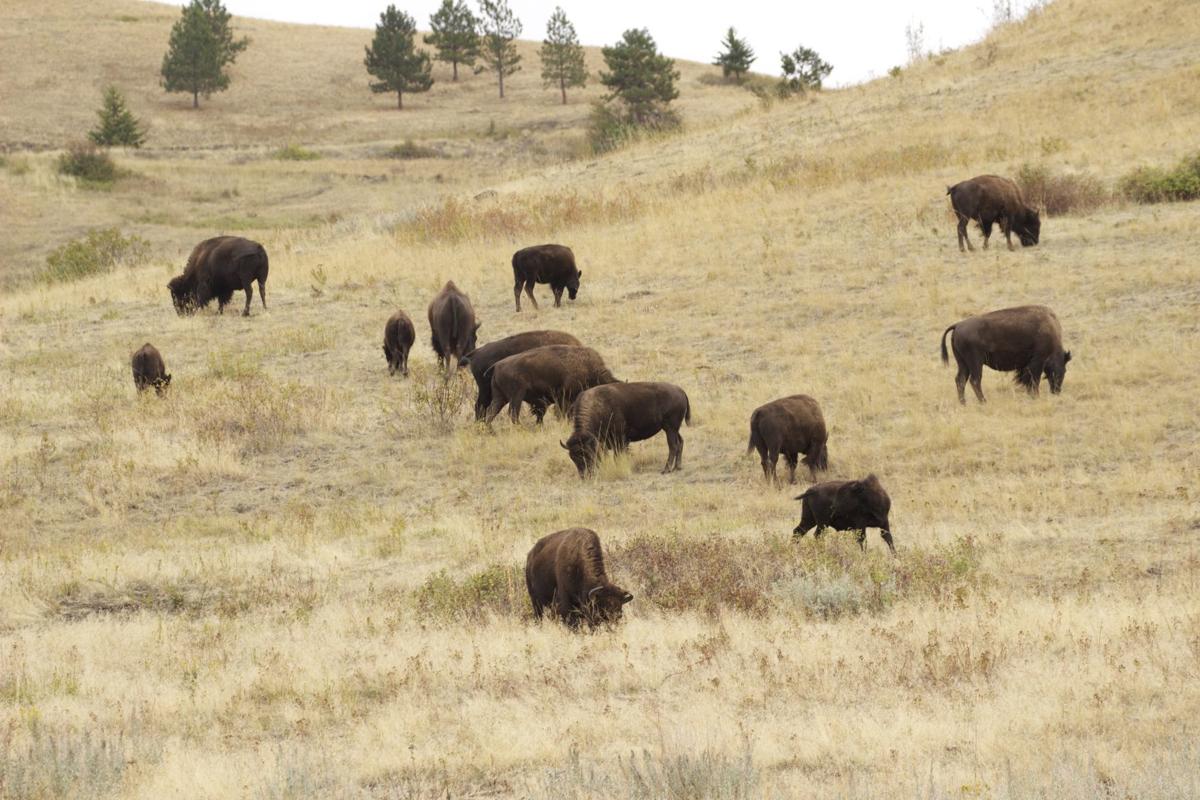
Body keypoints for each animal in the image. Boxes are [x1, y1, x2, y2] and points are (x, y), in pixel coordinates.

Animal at [486, 345, 617, 424]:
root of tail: (497, 365)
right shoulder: (565, 397)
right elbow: (562, 412)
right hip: (516, 395)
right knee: (513, 413)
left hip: (500, 397)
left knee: (491, 413)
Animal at [562, 381, 690, 477]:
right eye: (572, 457)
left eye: (587, 454)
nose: (585, 476)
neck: (598, 408)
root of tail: (681, 391)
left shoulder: (619, 439)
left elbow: (617, 456)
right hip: (673, 429)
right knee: (680, 442)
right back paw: (677, 467)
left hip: (670, 429)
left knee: (673, 446)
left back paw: (666, 470)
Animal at [941, 304, 1072, 403]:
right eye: (1063, 370)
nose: (1056, 391)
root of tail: (957, 325)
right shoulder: (1038, 361)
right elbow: (1035, 379)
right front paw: (1035, 396)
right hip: (975, 363)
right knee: (975, 380)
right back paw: (983, 401)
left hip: (963, 363)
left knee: (960, 380)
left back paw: (964, 403)